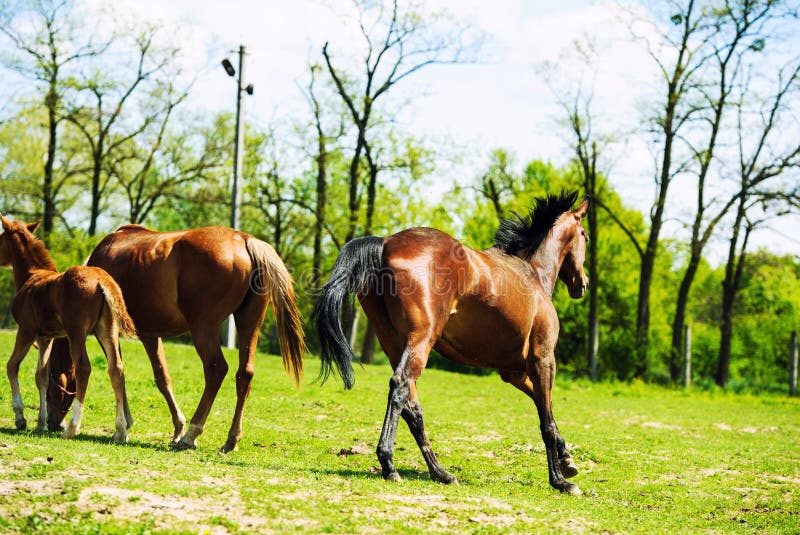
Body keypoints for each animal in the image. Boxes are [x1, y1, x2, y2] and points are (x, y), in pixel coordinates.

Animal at [0, 215, 136, 443]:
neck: (31, 276)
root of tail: (102, 279)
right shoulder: (46, 338)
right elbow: (42, 376)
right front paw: (41, 423)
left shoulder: (26, 330)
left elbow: (12, 365)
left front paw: (20, 418)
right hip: (106, 330)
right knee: (116, 368)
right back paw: (120, 431)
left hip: (76, 333)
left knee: (84, 368)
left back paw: (72, 428)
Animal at [46, 224, 306, 453]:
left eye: (51, 385)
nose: (51, 423)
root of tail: (244, 239)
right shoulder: (150, 334)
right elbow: (162, 378)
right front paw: (175, 426)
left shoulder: (114, 331)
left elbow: (118, 370)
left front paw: (128, 425)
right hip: (248, 322)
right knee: (245, 374)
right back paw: (230, 439)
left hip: (204, 328)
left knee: (216, 370)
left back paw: (192, 433)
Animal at [314, 190, 589, 495]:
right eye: (586, 236)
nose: (583, 284)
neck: (532, 273)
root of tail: (385, 244)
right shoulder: (543, 359)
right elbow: (546, 420)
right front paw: (561, 480)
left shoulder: (514, 373)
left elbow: (545, 407)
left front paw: (567, 460)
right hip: (421, 341)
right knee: (400, 387)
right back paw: (389, 465)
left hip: (395, 345)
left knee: (413, 409)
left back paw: (441, 473)